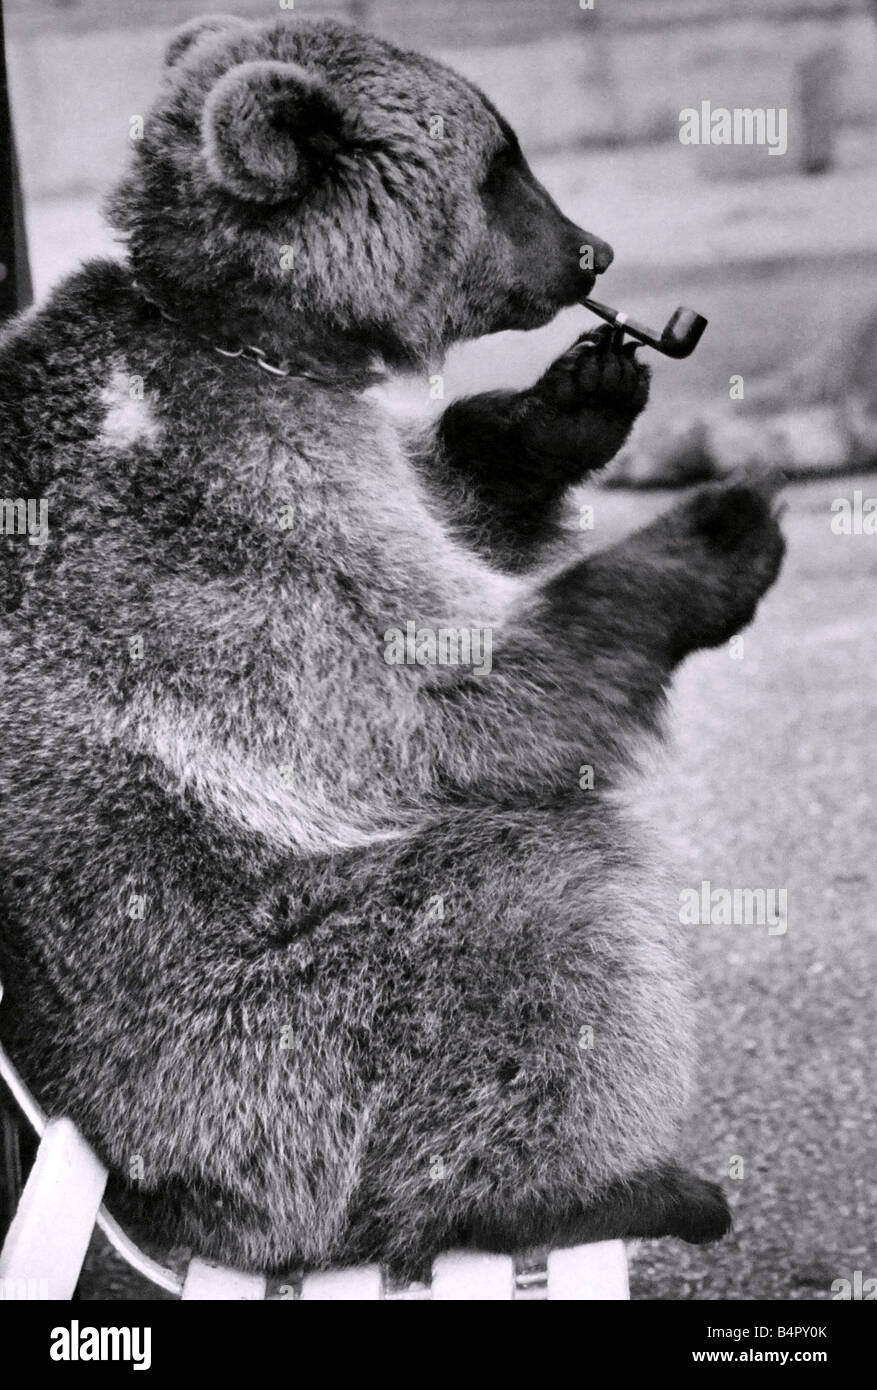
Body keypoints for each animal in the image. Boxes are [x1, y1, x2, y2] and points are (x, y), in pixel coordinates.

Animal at [0, 13, 784, 1280]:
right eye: (501, 165)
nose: (594, 252)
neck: (261, 340)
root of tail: (168, 1204)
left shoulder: (352, 458)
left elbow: (453, 498)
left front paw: (574, 397)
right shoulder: (226, 516)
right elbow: (445, 697)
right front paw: (714, 532)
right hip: (269, 1043)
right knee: (536, 912)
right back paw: (600, 1189)